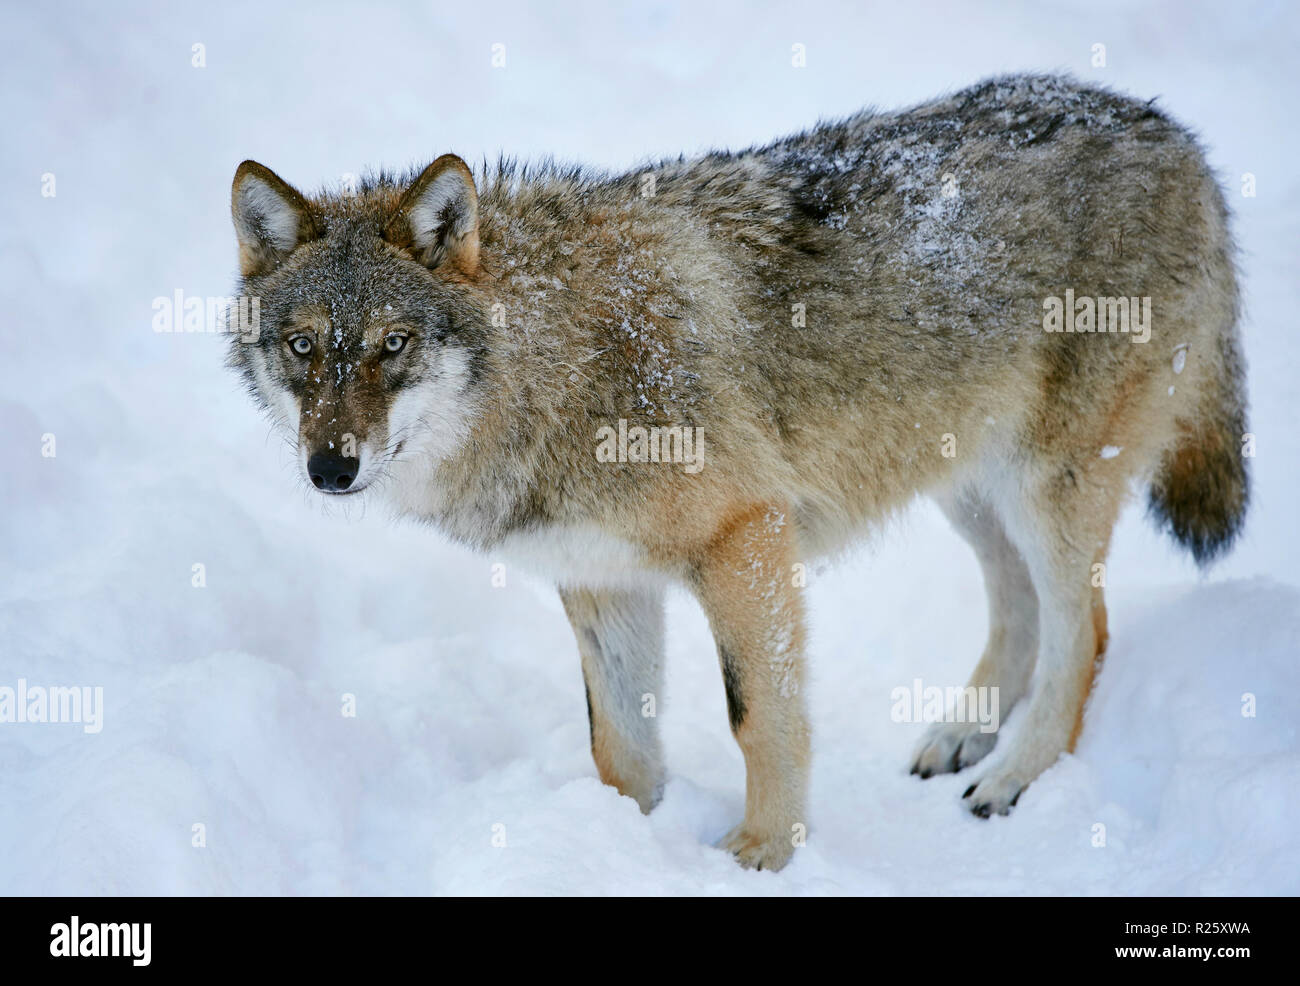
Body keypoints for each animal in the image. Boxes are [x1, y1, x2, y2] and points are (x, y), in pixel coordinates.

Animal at [228, 74, 1248, 871]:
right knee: (1020, 607)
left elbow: (759, 719)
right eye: (303, 347)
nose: (329, 467)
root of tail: (1175, 134)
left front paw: (763, 854)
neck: (556, 366)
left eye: (393, 345)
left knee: (1088, 634)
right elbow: (620, 748)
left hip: (1046, 490)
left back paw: (1013, 781)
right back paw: (964, 736)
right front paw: (616, 848)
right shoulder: (601, 581)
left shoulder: (744, 539)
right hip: (969, 487)